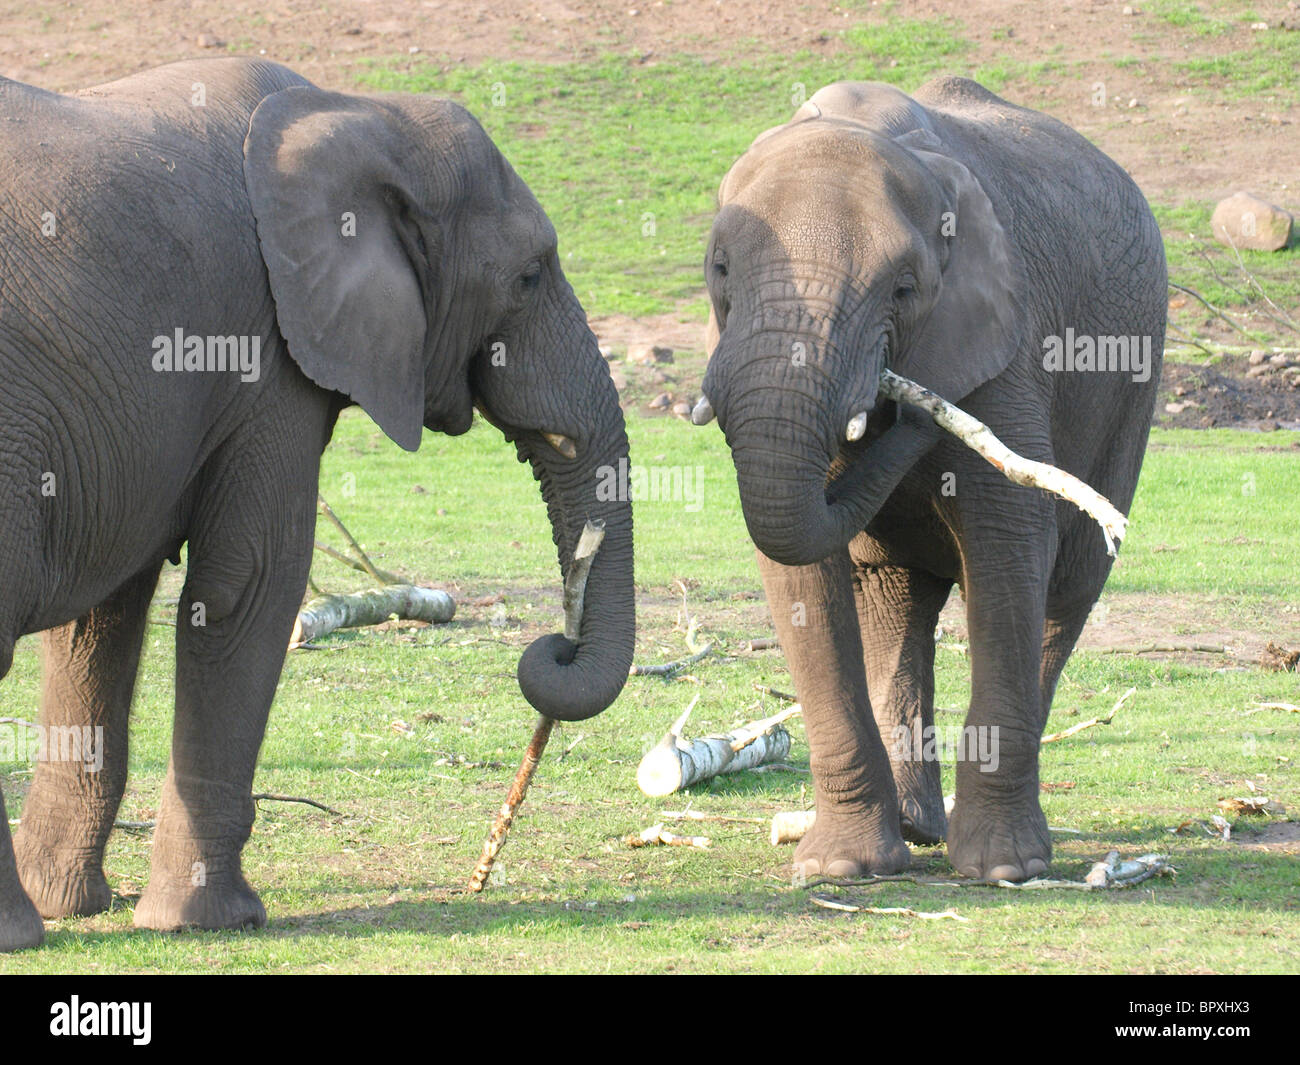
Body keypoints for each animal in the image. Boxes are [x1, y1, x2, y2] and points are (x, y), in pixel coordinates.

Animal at [0, 57, 634, 951]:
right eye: (529, 275)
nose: (559, 644)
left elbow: (102, 620)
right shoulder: (265, 354)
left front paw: (69, 905)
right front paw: (217, 919)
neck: (361, 111)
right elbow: (249, 583)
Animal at [696, 78, 1165, 881]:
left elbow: (1009, 539)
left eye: (904, 289)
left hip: (1132, 388)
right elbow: (800, 568)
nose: (910, 407)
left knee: (1065, 590)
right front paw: (839, 870)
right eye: (721, 269)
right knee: (892, 601)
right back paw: (914, 831)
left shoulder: (1002, 344)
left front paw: (1004, 869)